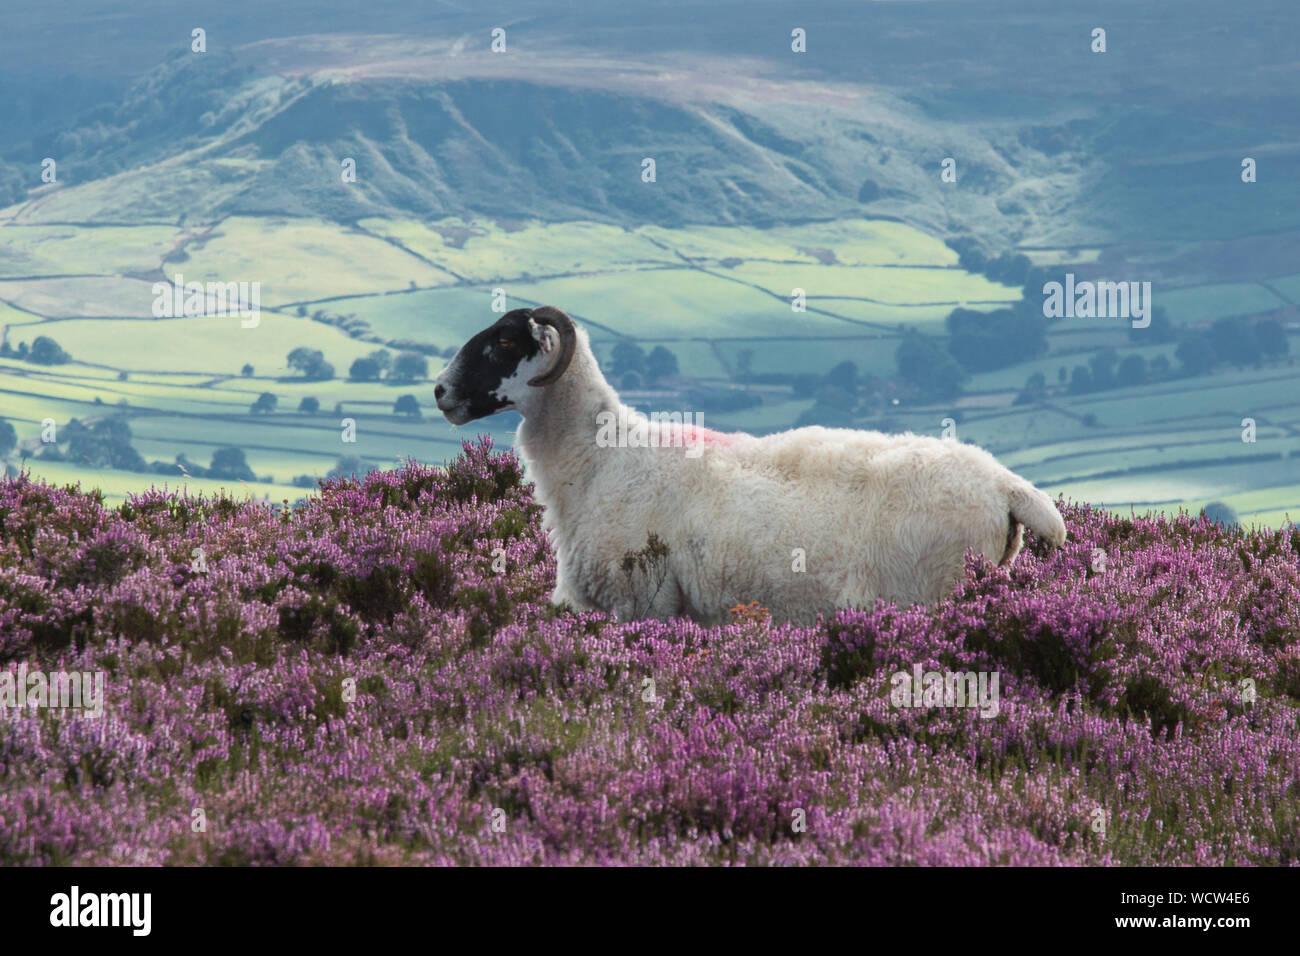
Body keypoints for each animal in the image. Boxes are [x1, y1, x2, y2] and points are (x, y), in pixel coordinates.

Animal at [434, 306, 1067, 626]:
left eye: (502, 344)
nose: (440, 391)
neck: (598, 459)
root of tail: (1006, 485)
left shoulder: (642, 604)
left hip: (931, 591)